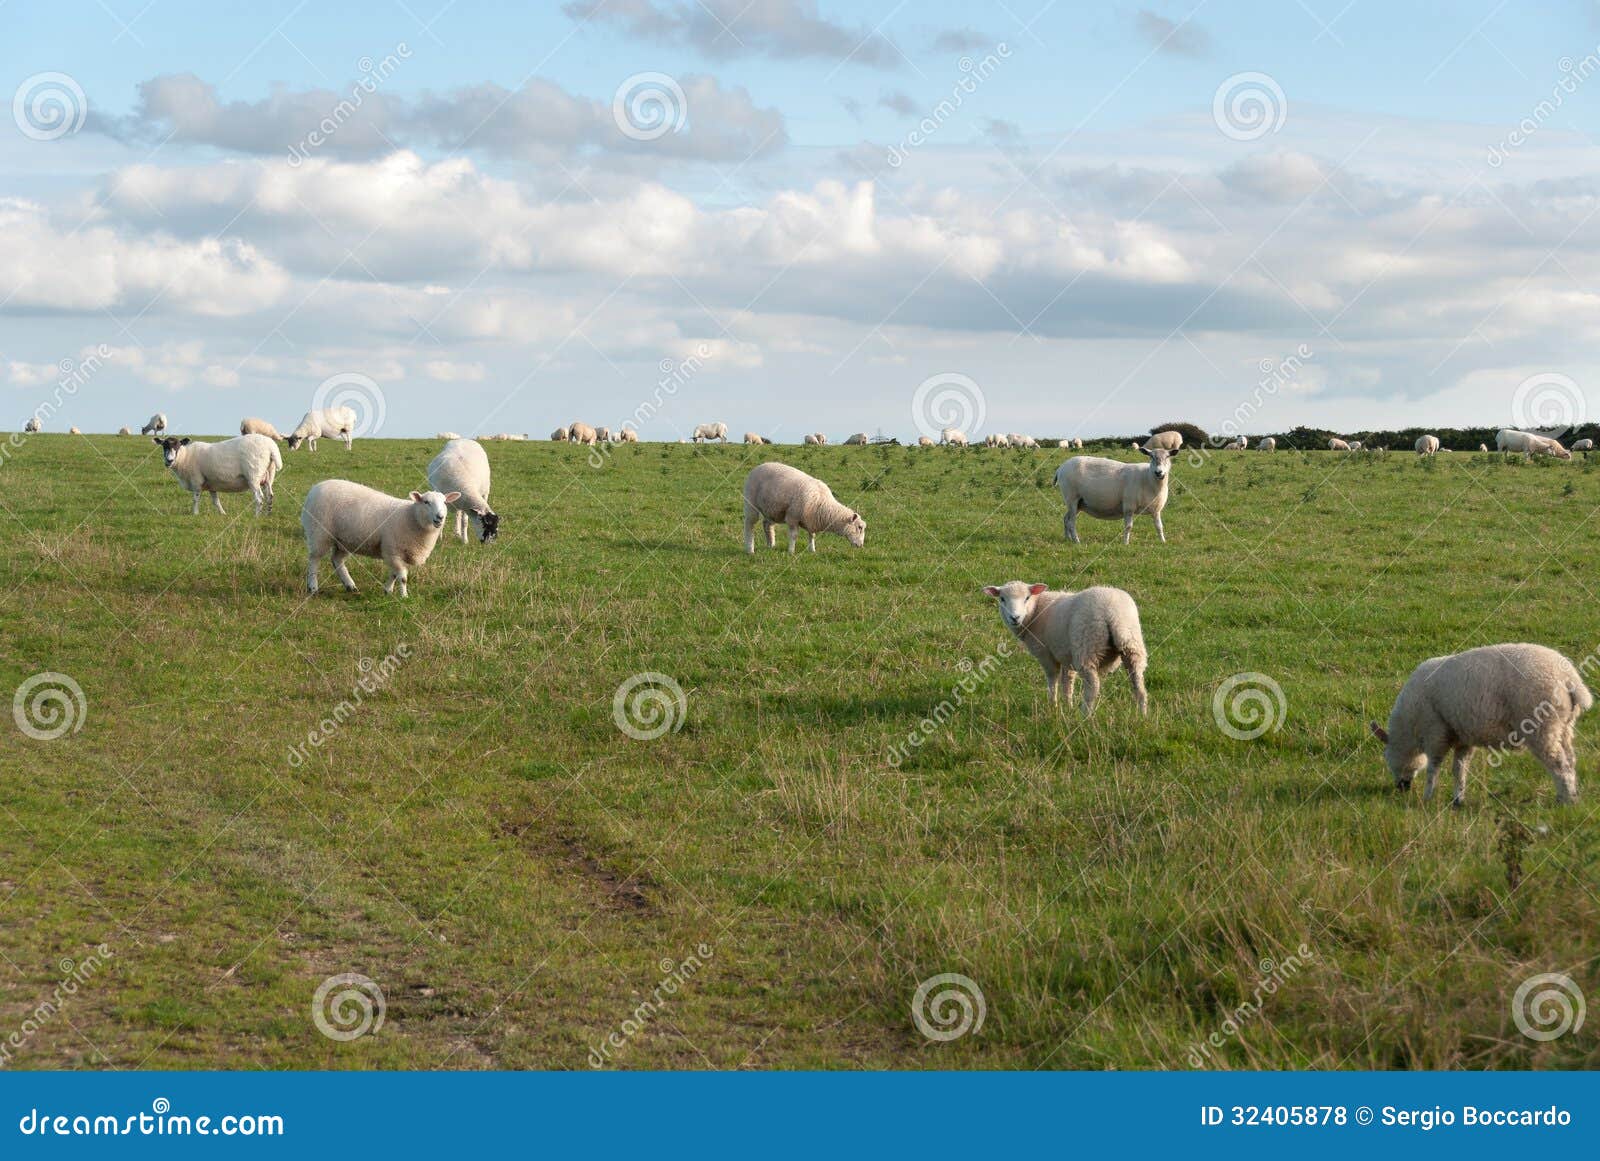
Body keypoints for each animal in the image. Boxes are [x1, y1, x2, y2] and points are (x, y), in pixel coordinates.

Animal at [301, 480, 460, 598]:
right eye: (426, 502)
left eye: (445, 502)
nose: (440, 517)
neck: (411, 517)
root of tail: (315, 488)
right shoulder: (393, 550)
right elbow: (402, 577)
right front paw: (404, 596)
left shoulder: (395, 553)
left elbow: (394, 574)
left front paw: (387, 590)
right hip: (319, 532)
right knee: (314, 559)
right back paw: (313, 587)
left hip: (345, 540)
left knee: (337, 560)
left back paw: (350, 585)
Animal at [982, 581, 1148, 715]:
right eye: (1002, 599)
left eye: (1027, 598)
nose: (1014, 618)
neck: (1035, 611)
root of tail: (1113, 615)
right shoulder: (1066, 655)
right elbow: (1067, 683)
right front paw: (1068, 707)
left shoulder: (1045, 653)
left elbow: (1052, 679)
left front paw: (1053, 706)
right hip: (1133, 647)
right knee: (1139, 685)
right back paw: (1141, 716)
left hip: (1086, 648)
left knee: (1092, 687)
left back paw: (1085, 716)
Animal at [1370, 643, 1590, 806]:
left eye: (1387, 758)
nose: (1401, 788)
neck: (1409, 726)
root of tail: (1570, 679)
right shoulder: (1462, 736)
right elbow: (1459, 768)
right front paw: (1458, 799)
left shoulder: (1435, 731)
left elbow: (1434, 767)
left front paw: (1427, 796)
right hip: (1563, 726)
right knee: (1570, 760)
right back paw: (1573, 796)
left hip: (1543, 728)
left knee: (1559, 765)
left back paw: (1565, 801)